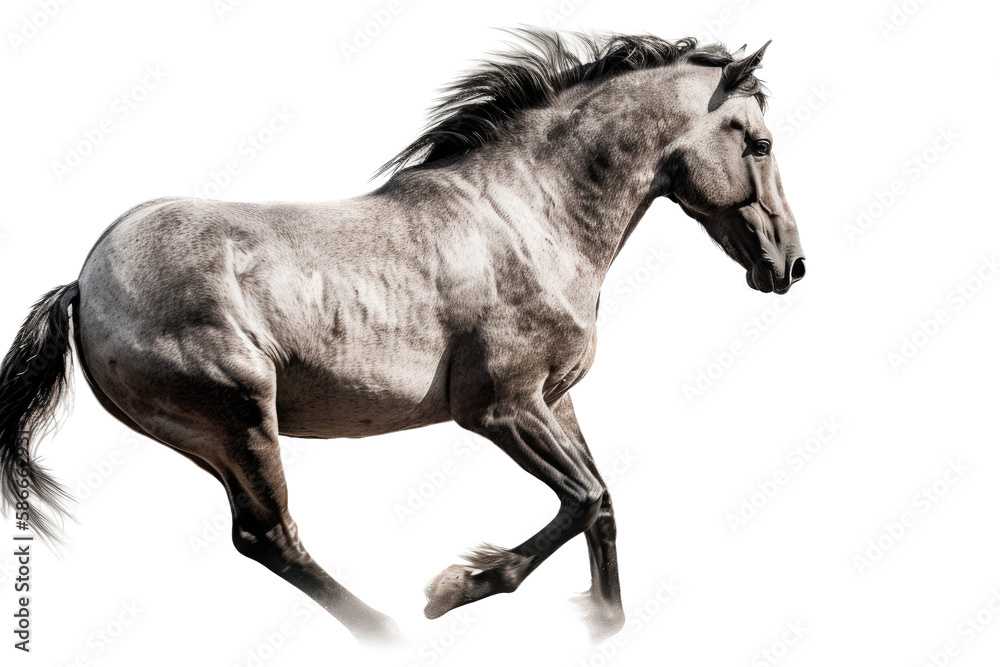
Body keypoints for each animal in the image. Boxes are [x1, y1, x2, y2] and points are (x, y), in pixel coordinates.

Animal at [0, 29, 804, 645]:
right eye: (761, 143)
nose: (791, 265)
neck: (527, 219)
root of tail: (83, 283)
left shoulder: (554, 400)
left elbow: (602, 500)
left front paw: (603, 623)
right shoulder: (497, 408)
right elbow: (580, 498)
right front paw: (456, 586)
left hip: (206, 435)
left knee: (263, 537)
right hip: (239, 416)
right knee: (270, 535)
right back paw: (389, 629)